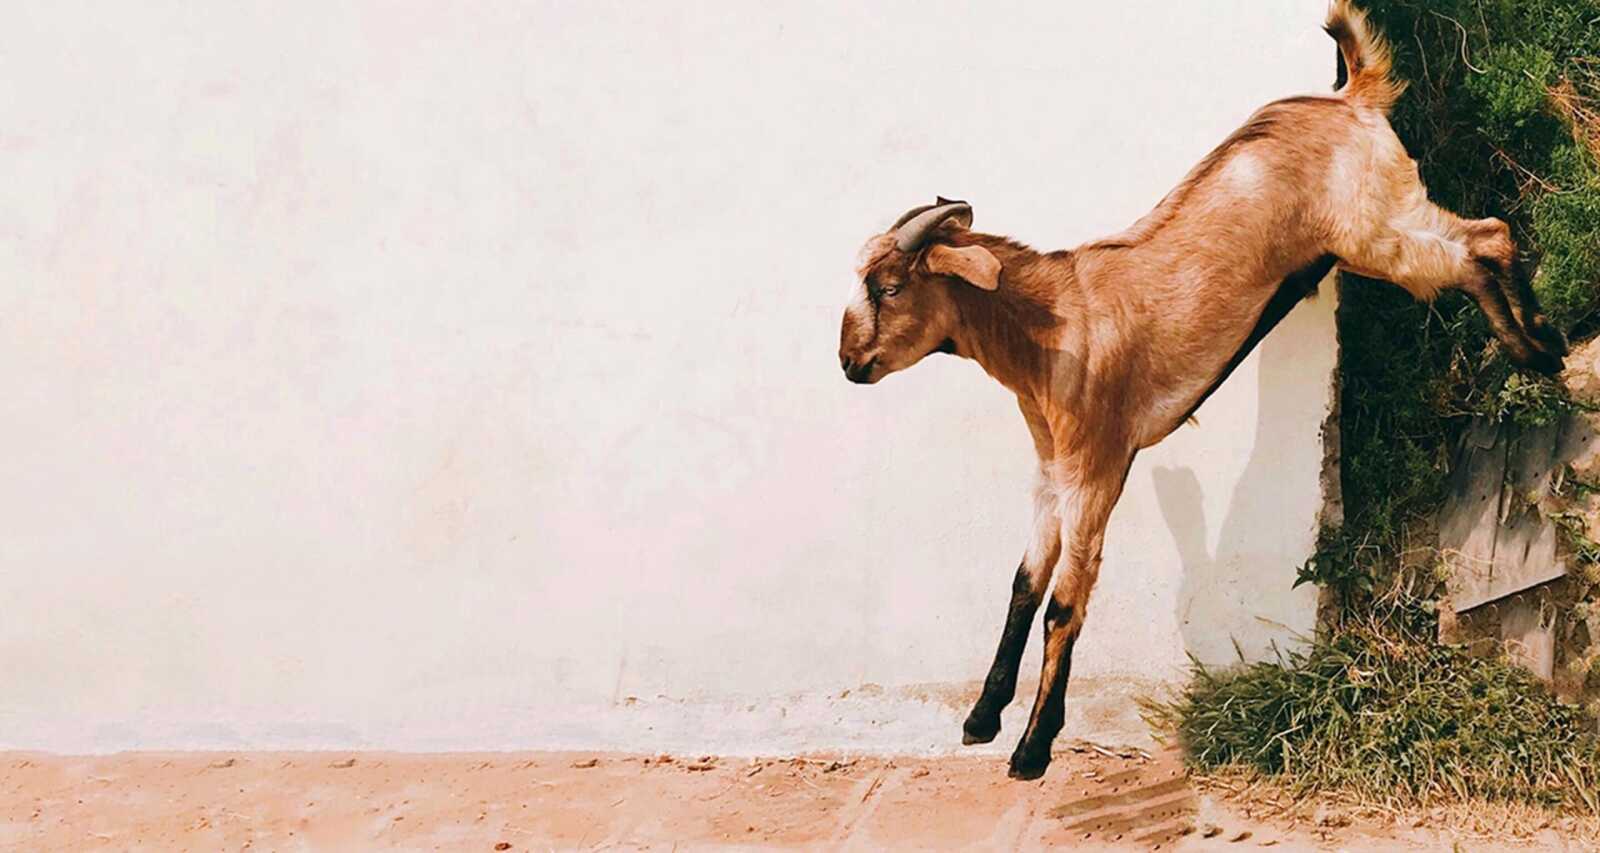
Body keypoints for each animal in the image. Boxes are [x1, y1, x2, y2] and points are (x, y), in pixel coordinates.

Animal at [837, 0, 1567, 781]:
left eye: (888, 286)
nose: (849, 361)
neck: (1058, 320)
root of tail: (1353, 96)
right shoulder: (1051, 468)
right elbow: (1024, 582)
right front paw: (981, 718)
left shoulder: (1097, 464)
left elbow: (1065, 600)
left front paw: (1033, 747)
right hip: (1385, 229)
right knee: (1480, 245)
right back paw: (1532, 345)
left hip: (1381, 230)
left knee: (1486, 238)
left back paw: (1541, 348)